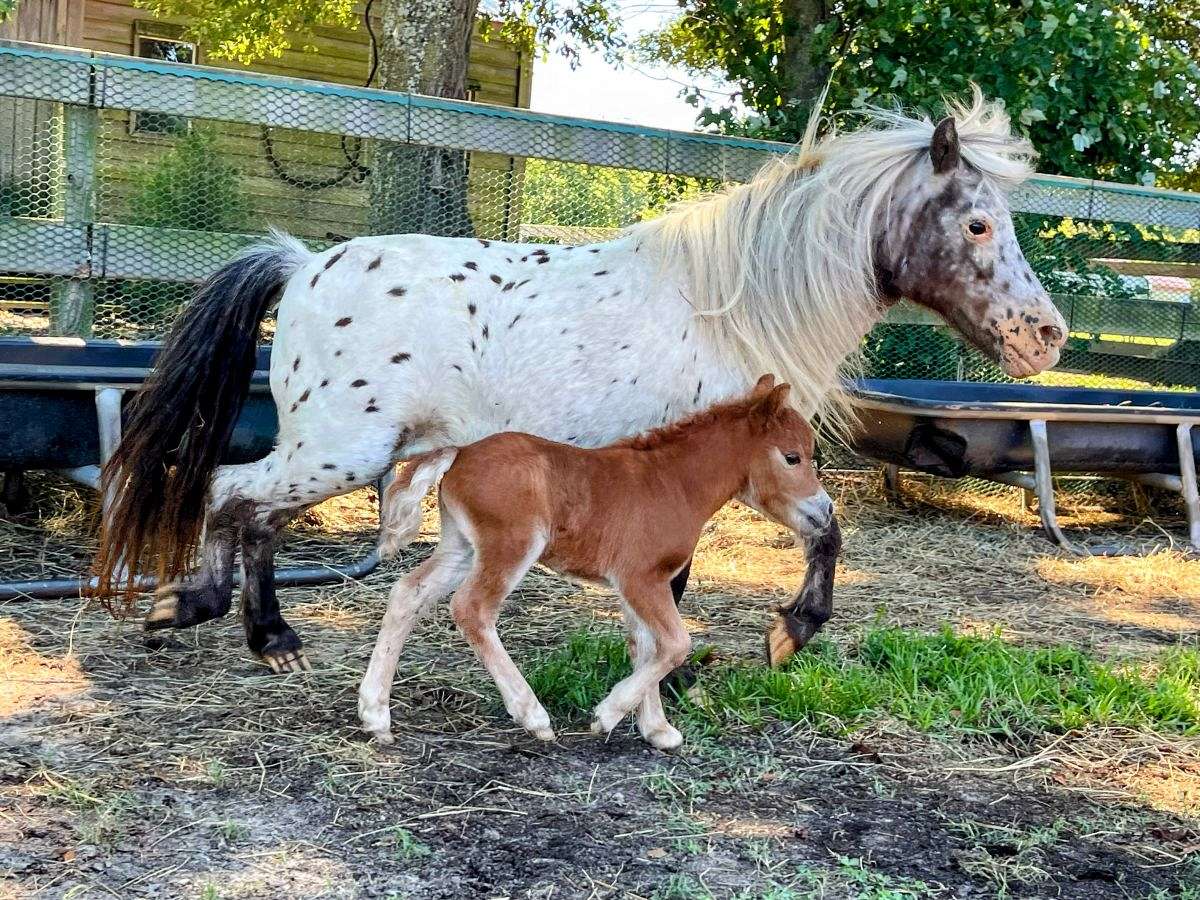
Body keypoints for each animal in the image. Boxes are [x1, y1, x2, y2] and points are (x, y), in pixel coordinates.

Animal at [95, 91, 1066, 673]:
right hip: (338, 450)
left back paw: (249, 630)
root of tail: (300, 265)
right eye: (977, 224)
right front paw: (747, 649)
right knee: (231, 492)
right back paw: (235, 624)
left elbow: (820, 533)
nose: (1046, 336)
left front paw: (774, 638)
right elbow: (694, 574)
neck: (730, 303)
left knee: (249, 509)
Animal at [358, 375, 833, 748]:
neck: (675, 482)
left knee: (407, 593)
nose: (825, 510)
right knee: (471, 609)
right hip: (510, 545)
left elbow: (645, 645)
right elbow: (675, 644)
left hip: (462, 547)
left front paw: (656, 729)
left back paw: (375, 714)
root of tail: (460, 452)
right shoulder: (641, 578)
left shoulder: (637, 585)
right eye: (792, 457)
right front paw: (607, 715)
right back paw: (533, 716)